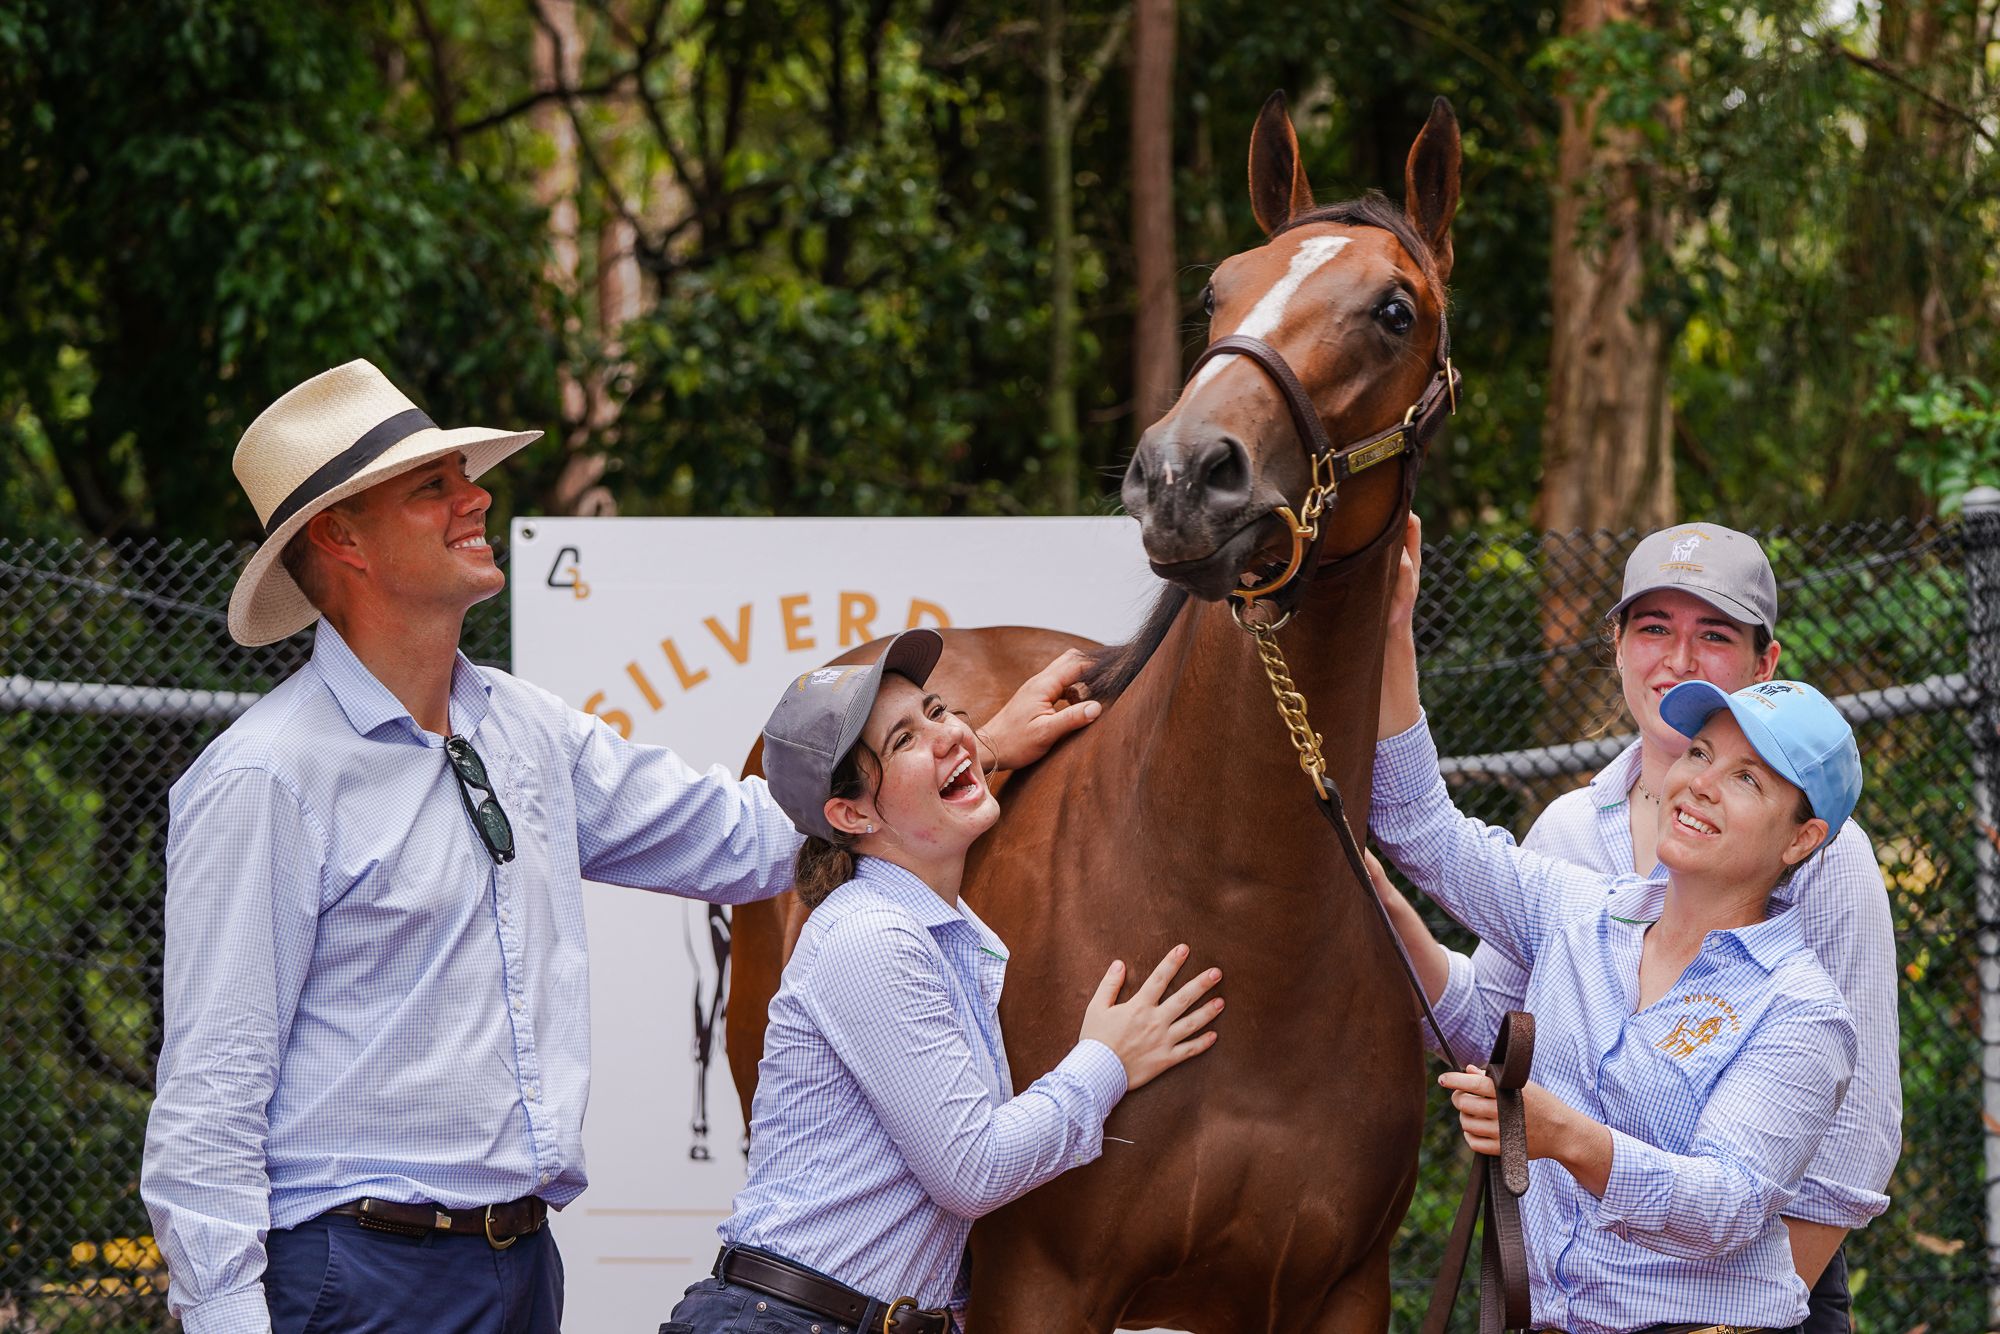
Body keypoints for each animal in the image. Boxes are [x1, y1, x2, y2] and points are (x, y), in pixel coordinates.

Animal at [725, 92, 1463, 1332]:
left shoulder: (1333, 1293)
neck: (1240, 913)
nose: (1181, 473)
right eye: (1217, 286)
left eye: (1394, 309)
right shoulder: (1041, 1284)